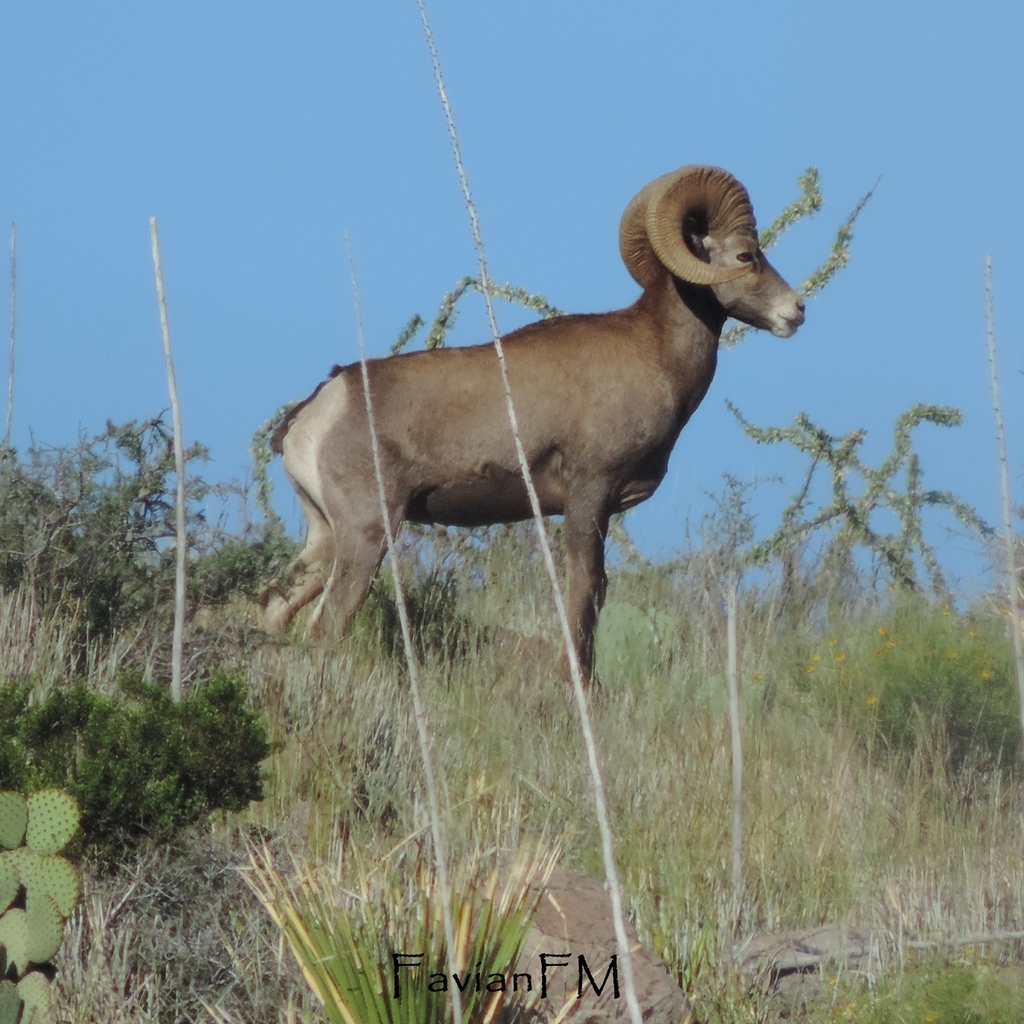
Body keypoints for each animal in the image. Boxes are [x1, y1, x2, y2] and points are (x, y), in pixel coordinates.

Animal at [262, 165, 805, 683]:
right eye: (745, 255)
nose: (796, 310)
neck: (656, 354)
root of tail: (319, 408)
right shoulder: (589, 495)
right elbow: (586, 590)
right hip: (367, 534)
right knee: (325, 626)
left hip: (325, 538)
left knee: (274, 609)